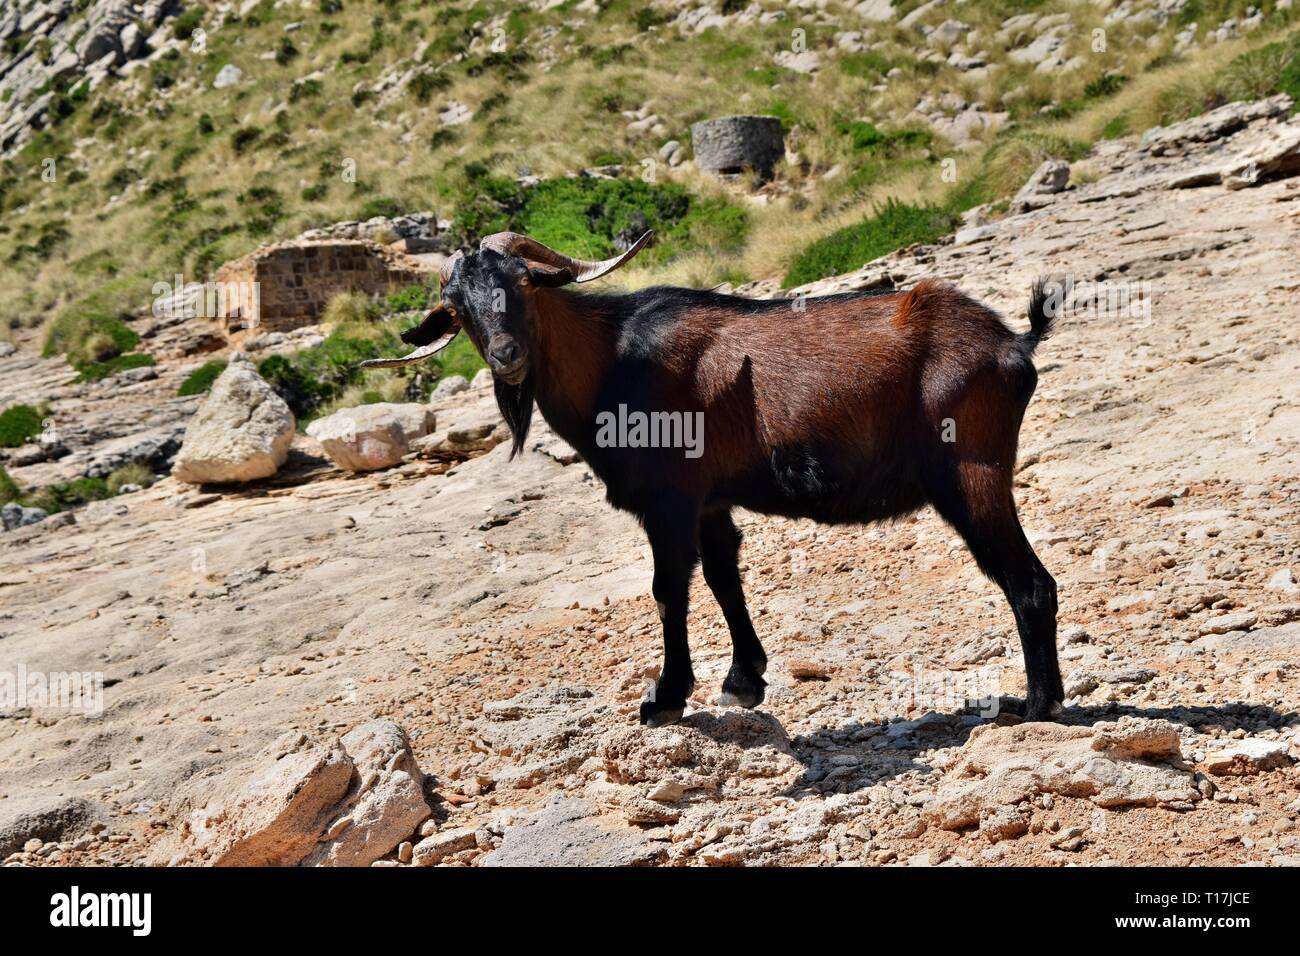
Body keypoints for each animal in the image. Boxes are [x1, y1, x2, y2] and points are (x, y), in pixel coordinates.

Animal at [362, 232, 1063, 725]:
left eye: (525, 283)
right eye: (458, 309)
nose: (508, 357)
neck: (612, 361)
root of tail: (1014, 345)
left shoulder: (669, 501)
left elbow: (668, 589)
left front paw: (665, 699)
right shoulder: (709, 501)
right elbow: (725, 577)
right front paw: (743, 682)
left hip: (971, 473)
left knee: (1029, 583)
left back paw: (1036, 706)